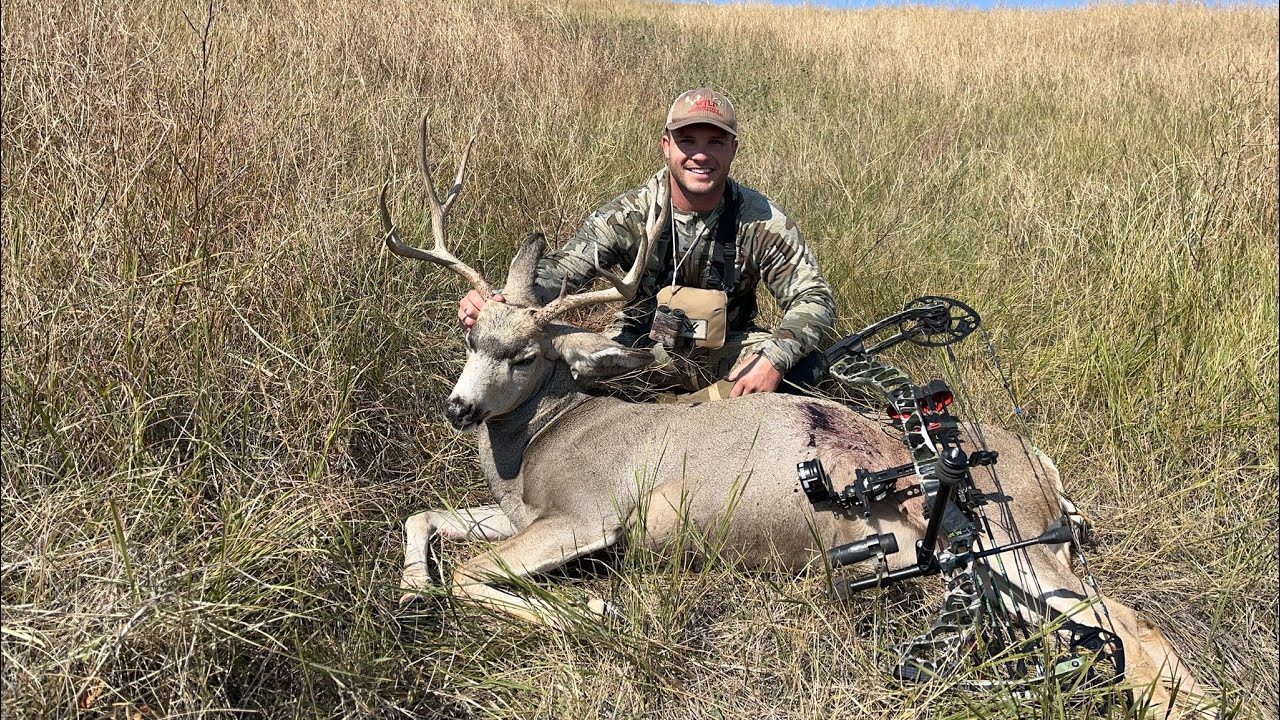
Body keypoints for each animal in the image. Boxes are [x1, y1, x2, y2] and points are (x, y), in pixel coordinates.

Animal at [378, 115, 1216, 718]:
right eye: (471, 336)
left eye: (524, 355)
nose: (458, 407)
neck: (541, 448)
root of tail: (1041, 463)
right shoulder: (522, 512)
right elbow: (425, 519)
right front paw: (414, 593)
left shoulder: (588, 513)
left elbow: (476, 573)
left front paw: (590, 607)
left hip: (1012, 534)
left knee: (1131, 625)